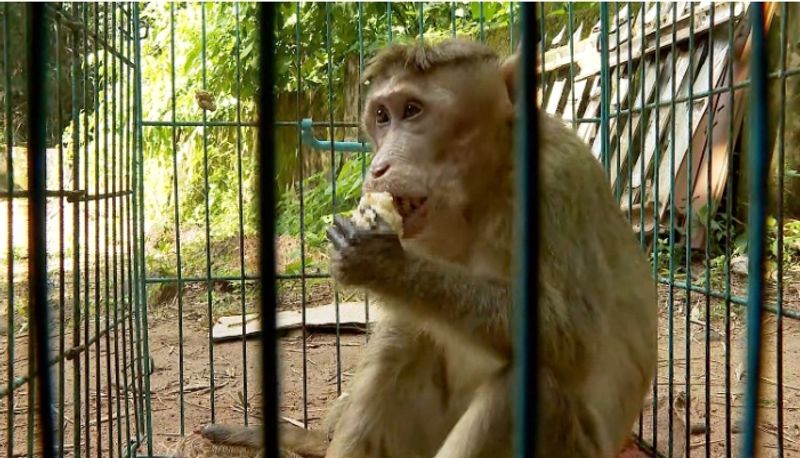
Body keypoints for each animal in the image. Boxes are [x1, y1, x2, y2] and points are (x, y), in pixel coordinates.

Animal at [201, 37, 658, 458]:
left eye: (412, 111)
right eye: (381, 116)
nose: (377, 167)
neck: (482, 191)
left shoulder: (554, 180)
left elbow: (569, 336)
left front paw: (383, 264)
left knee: (530, 386)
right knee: (401, 341)